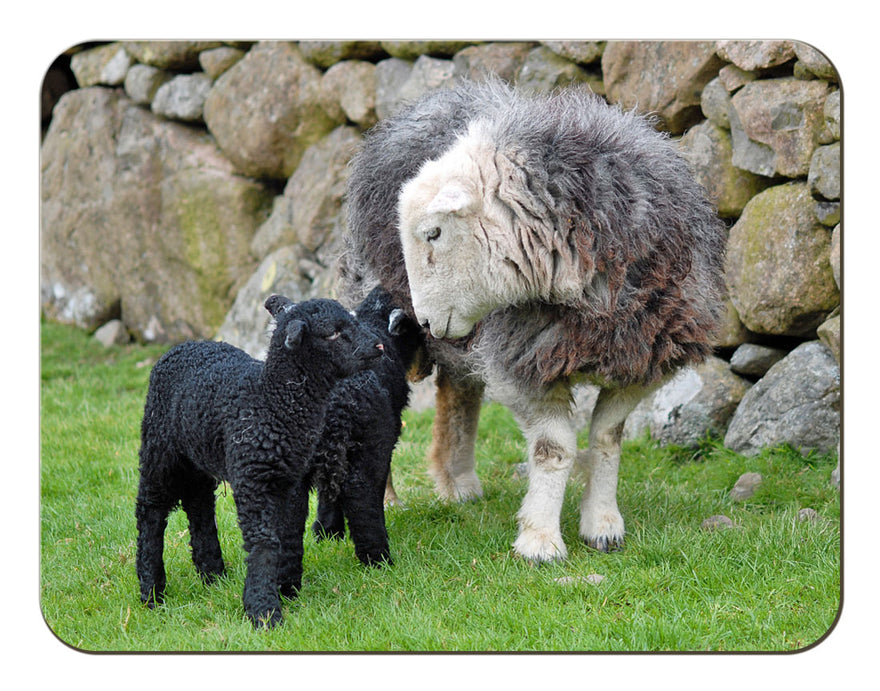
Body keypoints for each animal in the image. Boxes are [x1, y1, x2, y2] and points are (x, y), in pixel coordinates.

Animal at [135, 295, 385, 627]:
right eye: (332, 333)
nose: (379, 346)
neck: (271, 402)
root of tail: (183, 345)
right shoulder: (253, 481)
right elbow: (264, 543)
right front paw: (264, 612)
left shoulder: (289, 481)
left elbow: (288, 534)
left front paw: (287, 589)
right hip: (159, 448)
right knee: (150, 511)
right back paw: (151, 591)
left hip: (196, 454)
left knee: (199, 505)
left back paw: (213, 576)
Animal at [342, 78, 726, 562]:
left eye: (433, 232)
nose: (423, 321)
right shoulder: (523, 360)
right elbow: (553, 448)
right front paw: (540, 540)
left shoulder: (642, 356)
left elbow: (607, 438)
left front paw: (602, 525)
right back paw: (389, 499)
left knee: (459, 390)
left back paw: (459, 482)